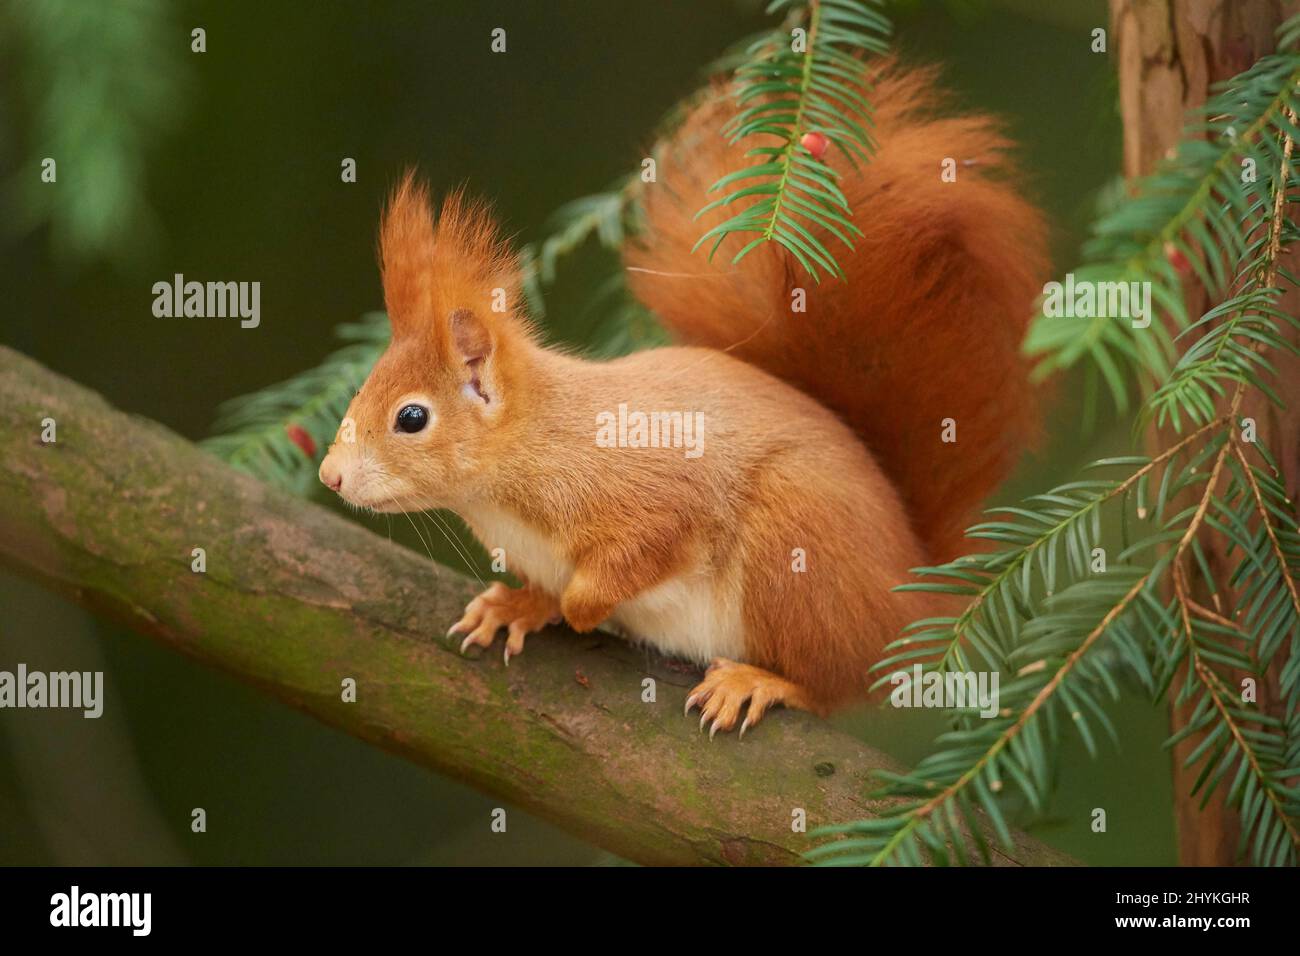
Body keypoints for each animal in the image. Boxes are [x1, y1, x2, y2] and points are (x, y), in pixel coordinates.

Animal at [318, 60, 1047, 736]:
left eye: (412, 417)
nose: (330, 476)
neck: (522, 462)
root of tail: (907, 591)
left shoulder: (650, 495)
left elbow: (645, 551)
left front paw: (581, 606)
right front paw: (519, 605)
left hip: (795, 549)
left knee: (827, 684)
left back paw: (758, 682)